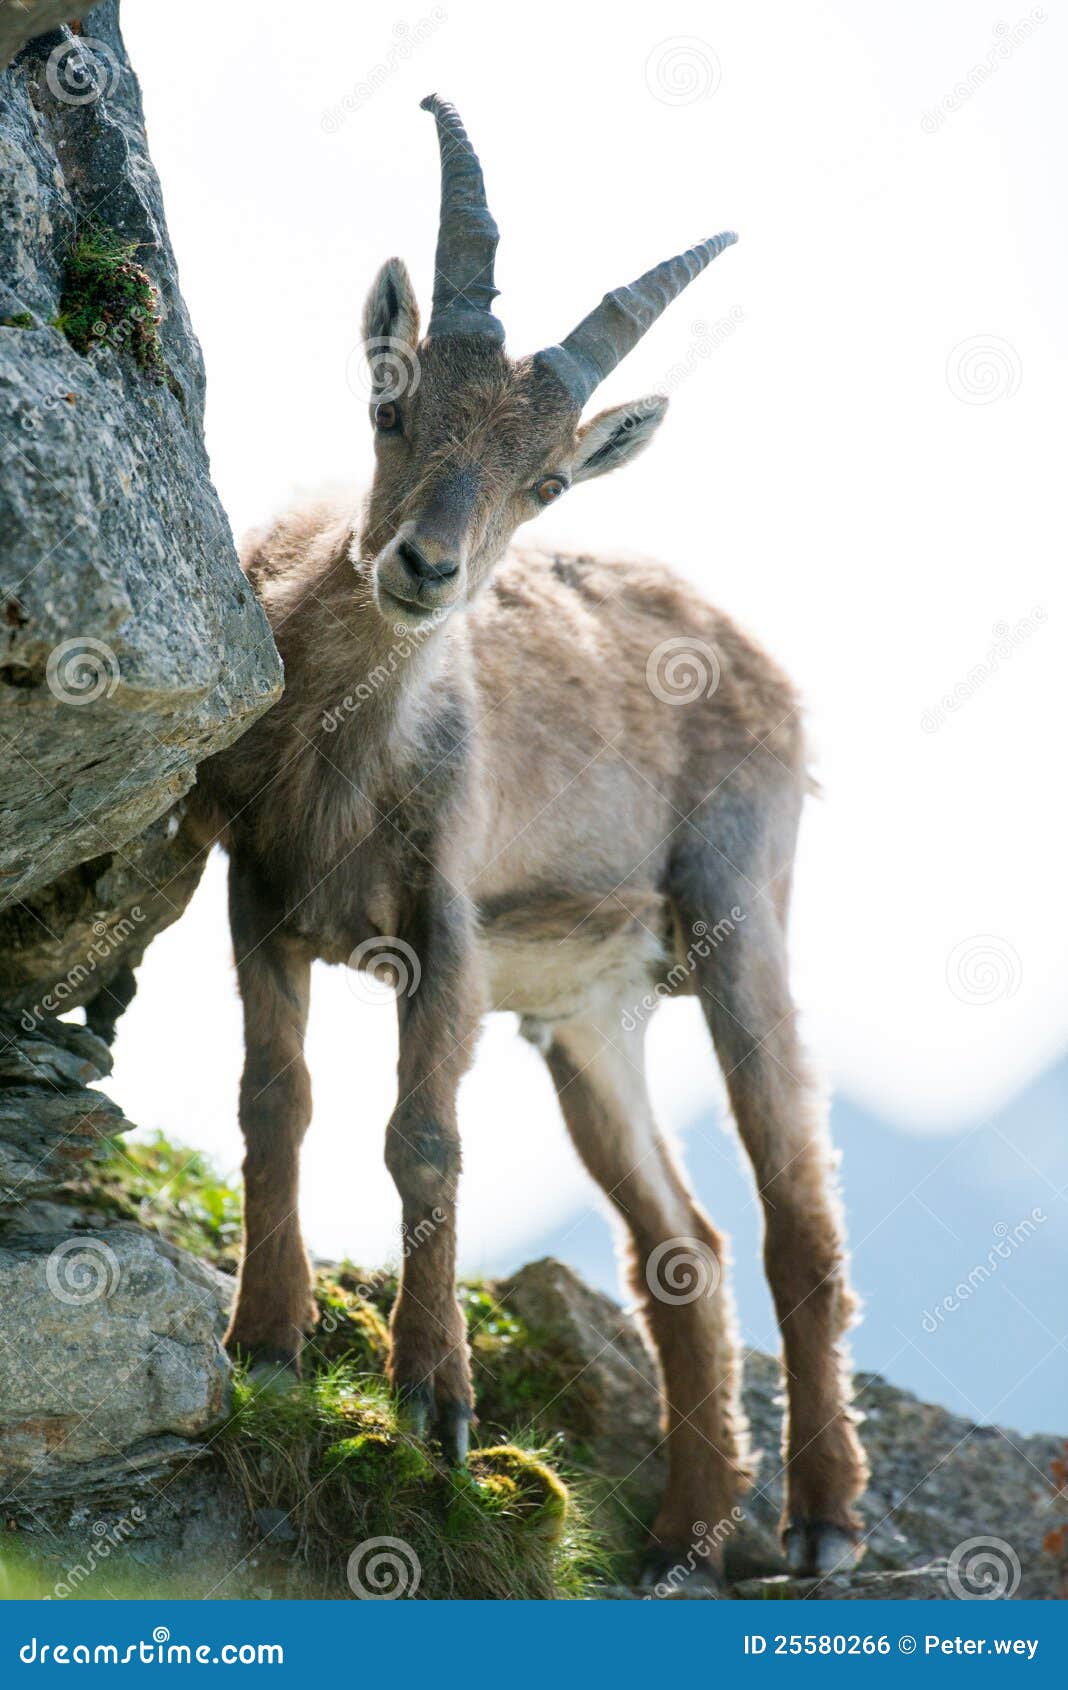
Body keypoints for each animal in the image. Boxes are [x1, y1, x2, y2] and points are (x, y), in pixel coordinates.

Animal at [191, 94, 867, 1590]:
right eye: (391, 401)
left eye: (547, 479)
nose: (426, 568)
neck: (351, 753)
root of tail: (761, 659)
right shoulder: (260, 893)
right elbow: (275, 1098)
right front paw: (265, 1340)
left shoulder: (444, 923)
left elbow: (423, 1137)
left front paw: (434, 1400)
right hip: (589, 1015)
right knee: (684, 1245)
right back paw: (683, 1525)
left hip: (740, 917)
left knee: (793, 1210)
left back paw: (824, 1514)